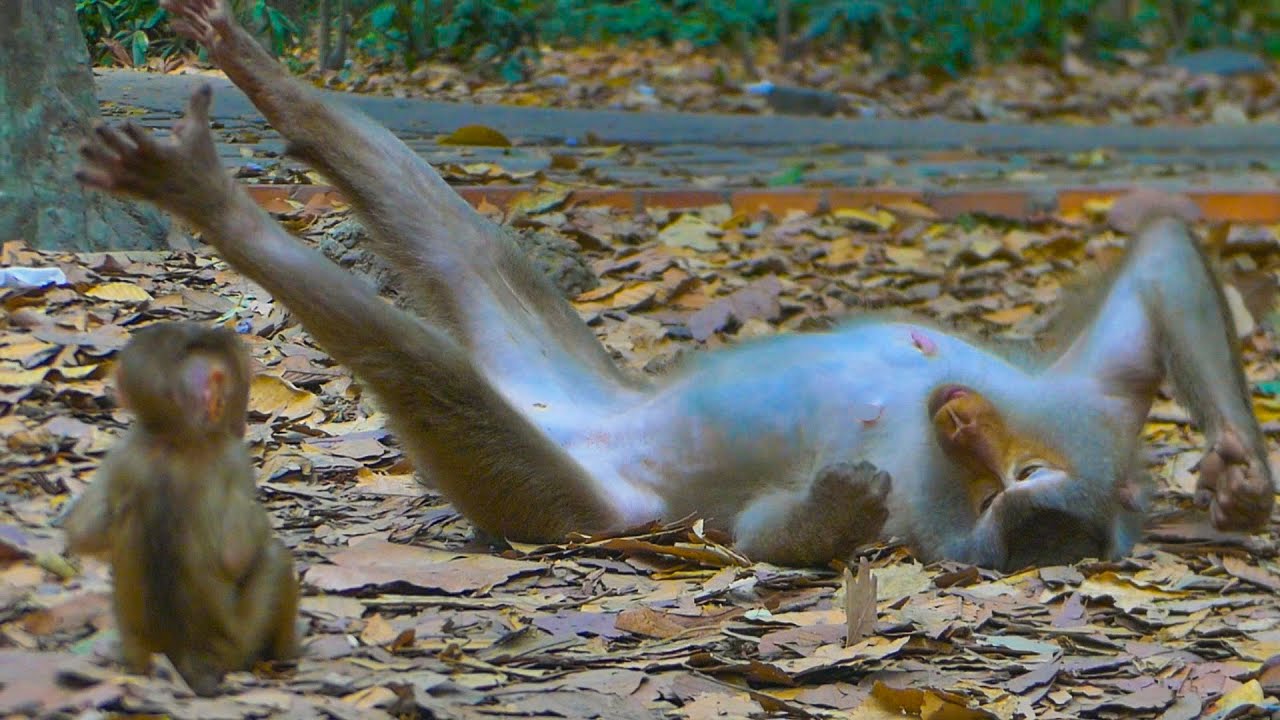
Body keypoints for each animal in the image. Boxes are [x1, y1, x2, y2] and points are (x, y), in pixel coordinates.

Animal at [59, 322, 299, 696]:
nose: (240, 422)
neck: (173, 438)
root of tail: (186, 659)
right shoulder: (233, 457)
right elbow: (237, 555)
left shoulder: (123, 450)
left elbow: (82, 535)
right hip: (239, 643)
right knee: (276, 559)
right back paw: (289, 654)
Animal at [73, 0, 1274, 571]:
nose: (956, 415)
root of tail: (579, 410)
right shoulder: (1083, 410)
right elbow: (1161, 265)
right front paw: (1238, 473)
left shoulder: (953, 522)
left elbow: (779, 535)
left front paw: (840, 507)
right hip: (552, 357)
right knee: (460, 246)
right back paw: (260, 81)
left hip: (575, 493)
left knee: (428, 369)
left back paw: (215, 205)